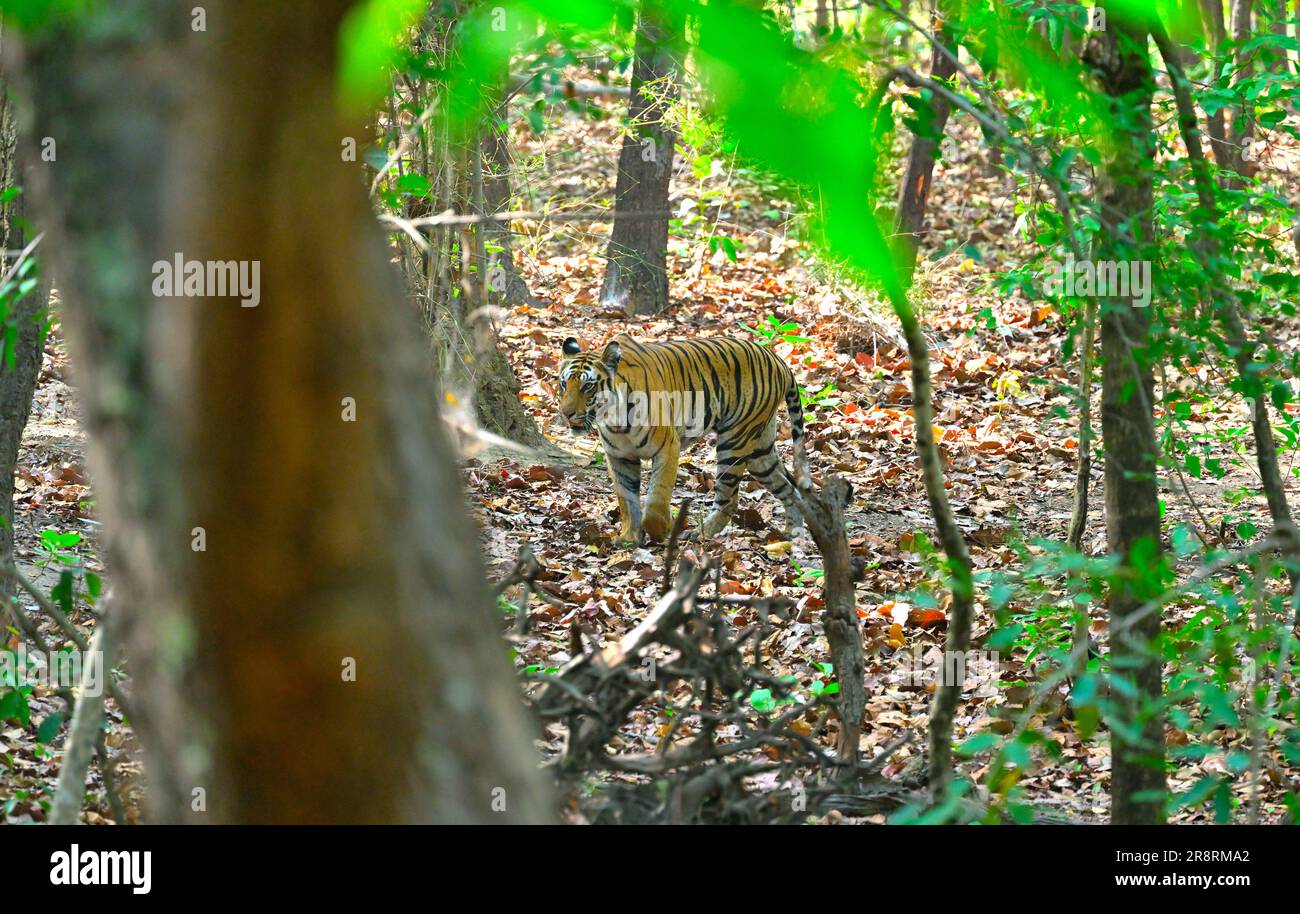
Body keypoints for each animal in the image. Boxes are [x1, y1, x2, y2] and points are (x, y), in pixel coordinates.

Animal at [556, 334, 812, 544]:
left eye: (588, 386)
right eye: (564, 384)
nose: (565, 413)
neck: (614, 420)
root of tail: (777, 359)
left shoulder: (668, 447)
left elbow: (657, 497)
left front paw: (662, 530)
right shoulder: (619, 457)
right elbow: (626, 499)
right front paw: (629, 537)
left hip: (734, 441)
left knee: (729, 499)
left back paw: (701, 533)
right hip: (760, 452)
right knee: (789, 487)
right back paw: (793, 532)